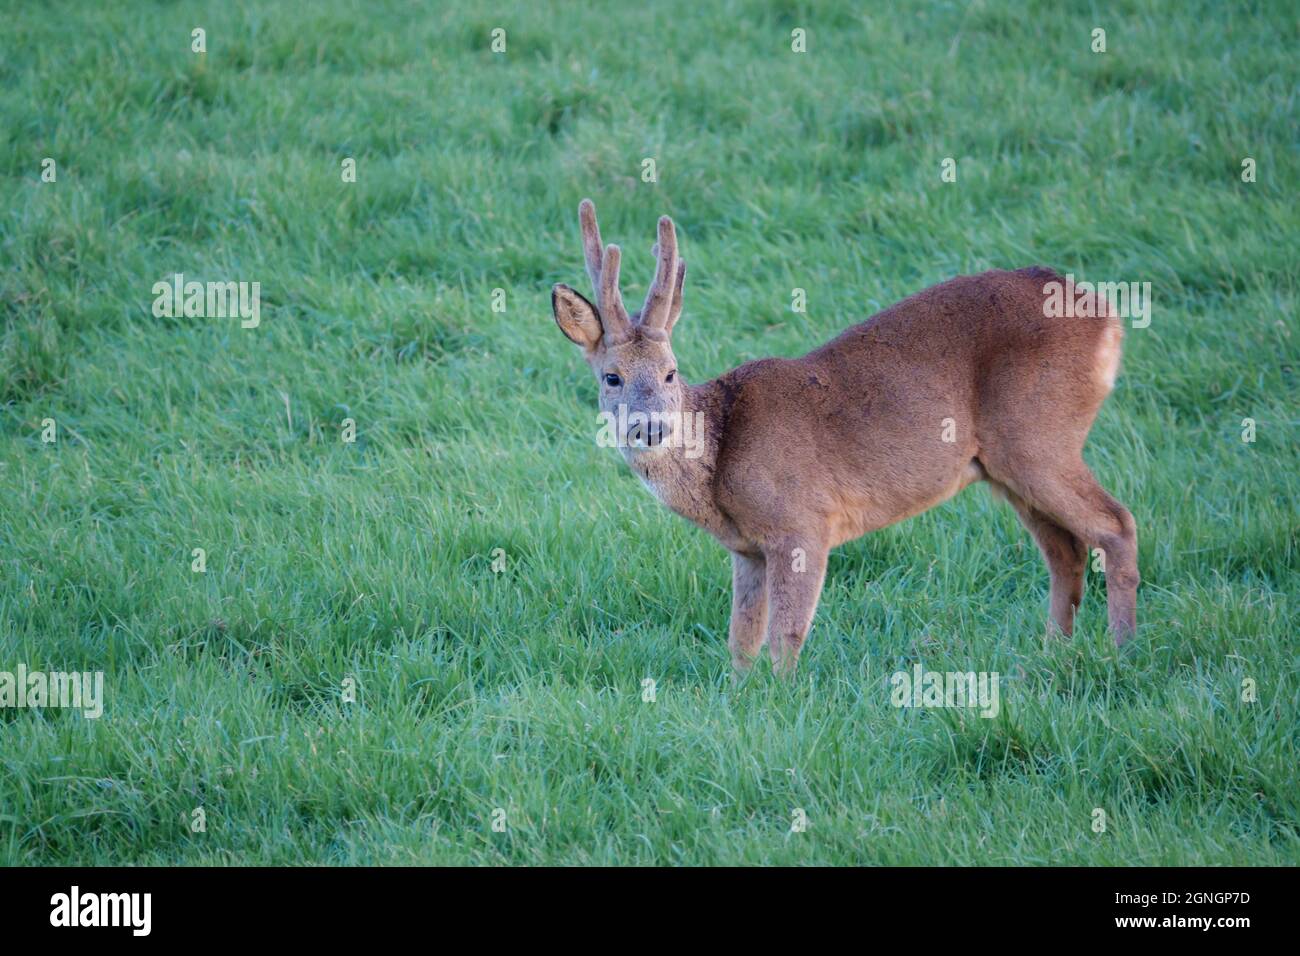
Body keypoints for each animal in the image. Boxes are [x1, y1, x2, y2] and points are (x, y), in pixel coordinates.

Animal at [550, 200, 1139, 678]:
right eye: (611, 378)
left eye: (671, 373)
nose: (650, 427)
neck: (720, 455)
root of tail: (1107, 317)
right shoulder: (748, 550)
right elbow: (741, 641)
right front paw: (738, 695)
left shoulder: (802, 523)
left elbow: (784, 638)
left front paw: (778, 702)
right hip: (1008, 465)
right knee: (1066, 551)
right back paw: (1050, 654)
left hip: (1039, 436)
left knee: (1116, 524)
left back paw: (1122, 651)